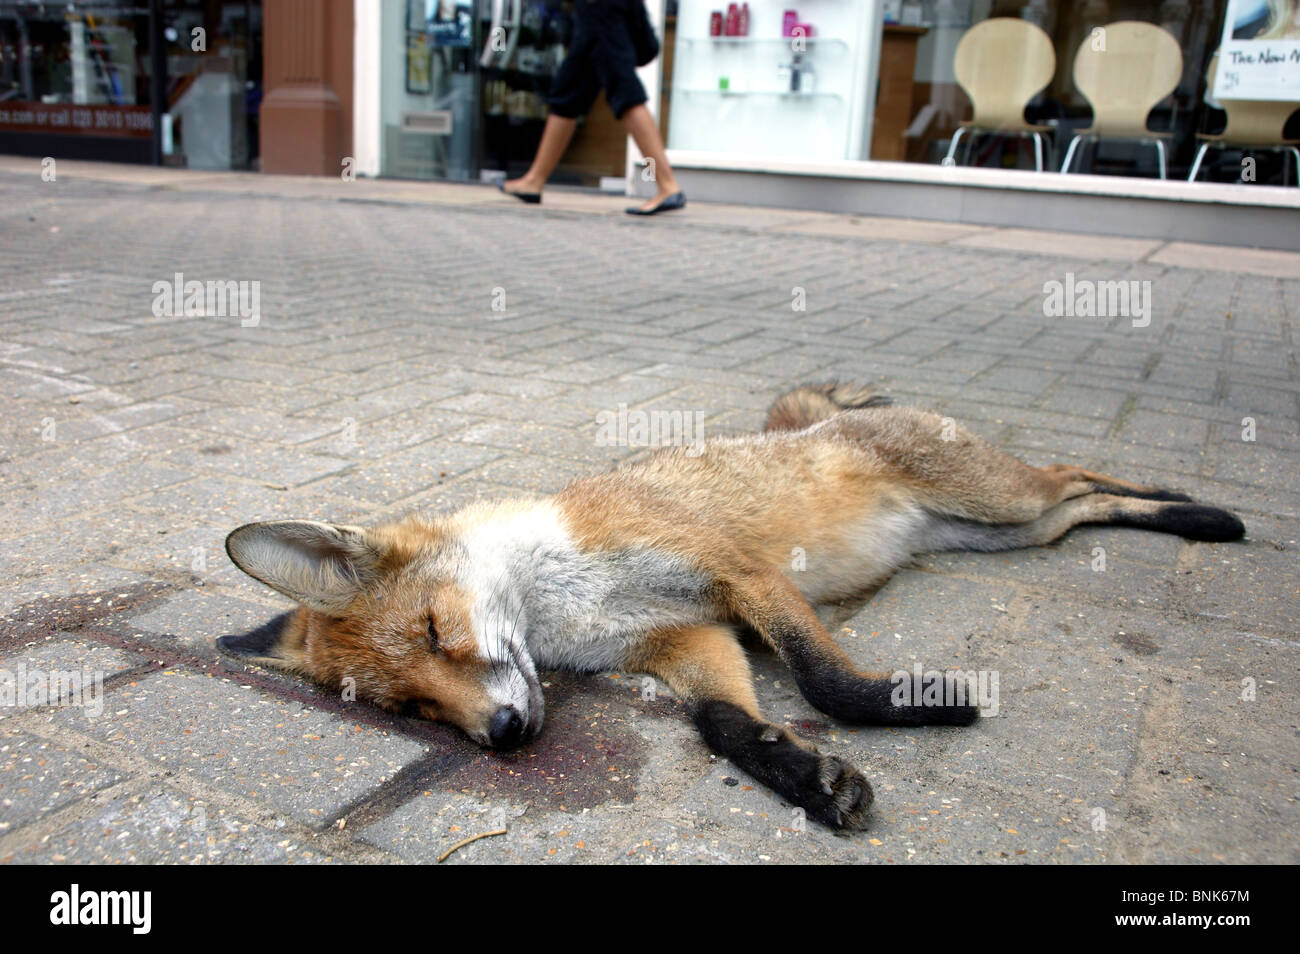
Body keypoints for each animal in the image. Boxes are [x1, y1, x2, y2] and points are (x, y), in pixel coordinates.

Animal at [220, 384, 1245, 831]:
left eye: (437, 633)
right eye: (412, 709)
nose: (504, 736)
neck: (567, 601)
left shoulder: (739, 575)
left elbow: (825, 682)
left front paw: (911, 708)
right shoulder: (688, 637)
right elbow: (721, 724)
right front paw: (806, 779)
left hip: (995, 501)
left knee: (1079, 473)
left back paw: (1207, 511)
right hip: (1003, 532)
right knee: (1082, 507)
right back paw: (1186, 513)